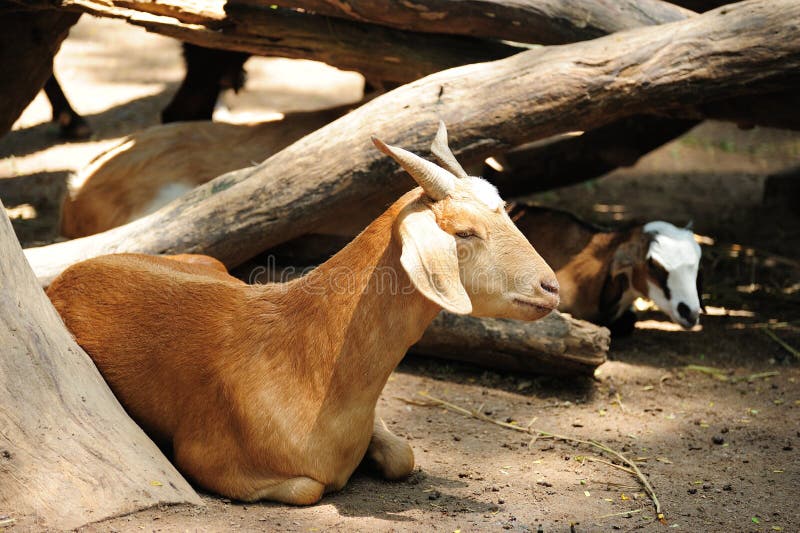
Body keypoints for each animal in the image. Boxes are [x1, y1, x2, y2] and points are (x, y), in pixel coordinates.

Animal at [47, 122, 559, 504]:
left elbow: (403, 456)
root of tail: (66, 275)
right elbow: (312, 488)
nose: (550, 287)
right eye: (465, 232)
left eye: (505, 210)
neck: (312, 361)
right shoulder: (205, 458)